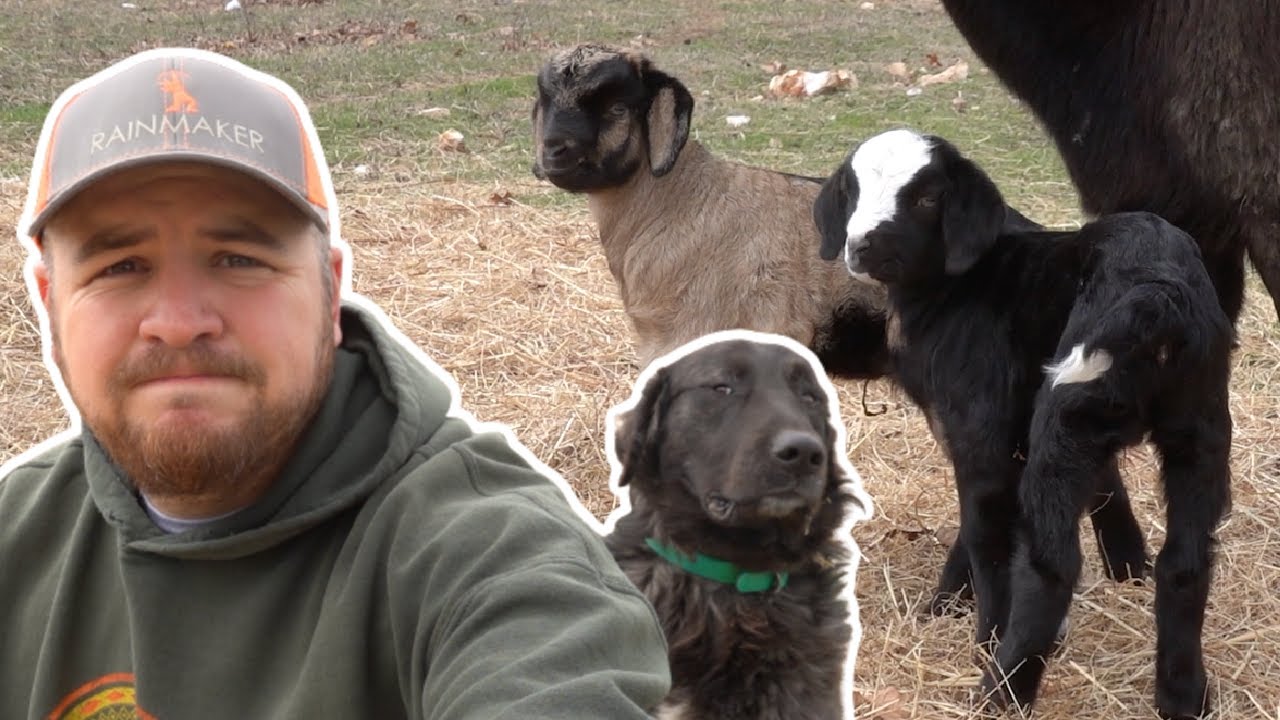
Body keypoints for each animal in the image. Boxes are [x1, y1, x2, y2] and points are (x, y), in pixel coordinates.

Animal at [814, 128, 1233, 718]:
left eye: (927, 197)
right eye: (851, 189)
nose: (865, 246)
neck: (960, 285)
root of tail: (1156, 291)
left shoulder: (979, 429)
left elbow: (986, 533)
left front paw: (980, 628)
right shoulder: (1012, 439)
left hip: (1065, 423)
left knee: (1052, 563)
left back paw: (1000, 690)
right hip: (1198, 425)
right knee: (1185, 563)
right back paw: (1183, 697)